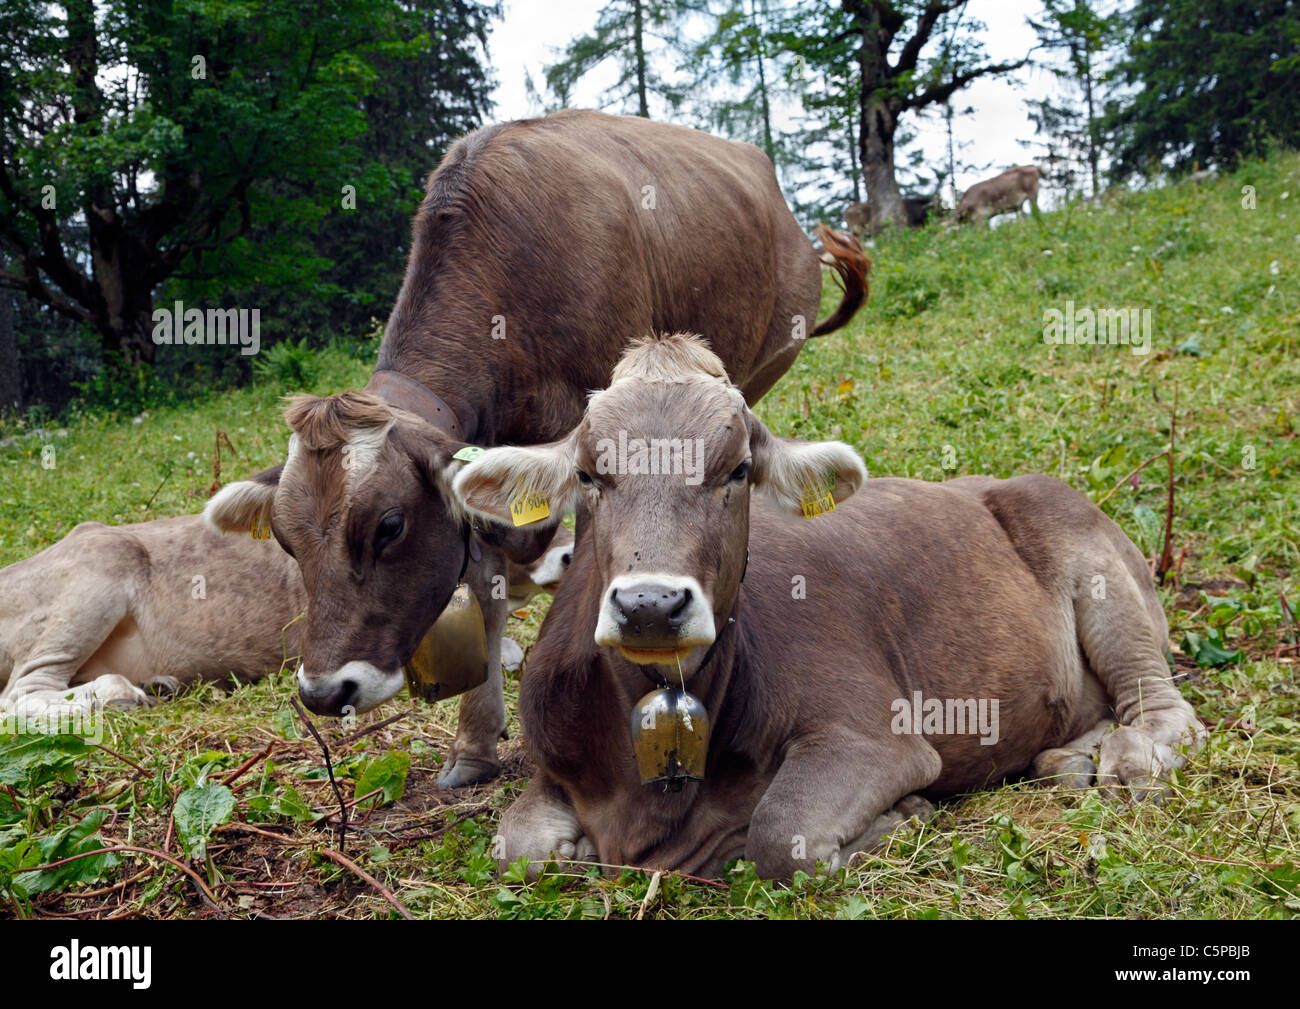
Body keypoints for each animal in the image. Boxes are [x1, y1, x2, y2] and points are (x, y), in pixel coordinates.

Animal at [202, 109, 870, 787]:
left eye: (389, 527)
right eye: (285, 540)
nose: (324, 691)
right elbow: (487, 586)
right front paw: (475, 741)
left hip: (761, 363)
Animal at [450, 333, 1207, 881]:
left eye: (737, 470)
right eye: (587, 474)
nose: (650, 604)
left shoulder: (872, 733)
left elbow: (781, 834)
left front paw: (902, 814)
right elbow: (515, 848)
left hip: (1094, 561)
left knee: (1162, 703)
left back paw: (1129, 754)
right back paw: (1069, 759)